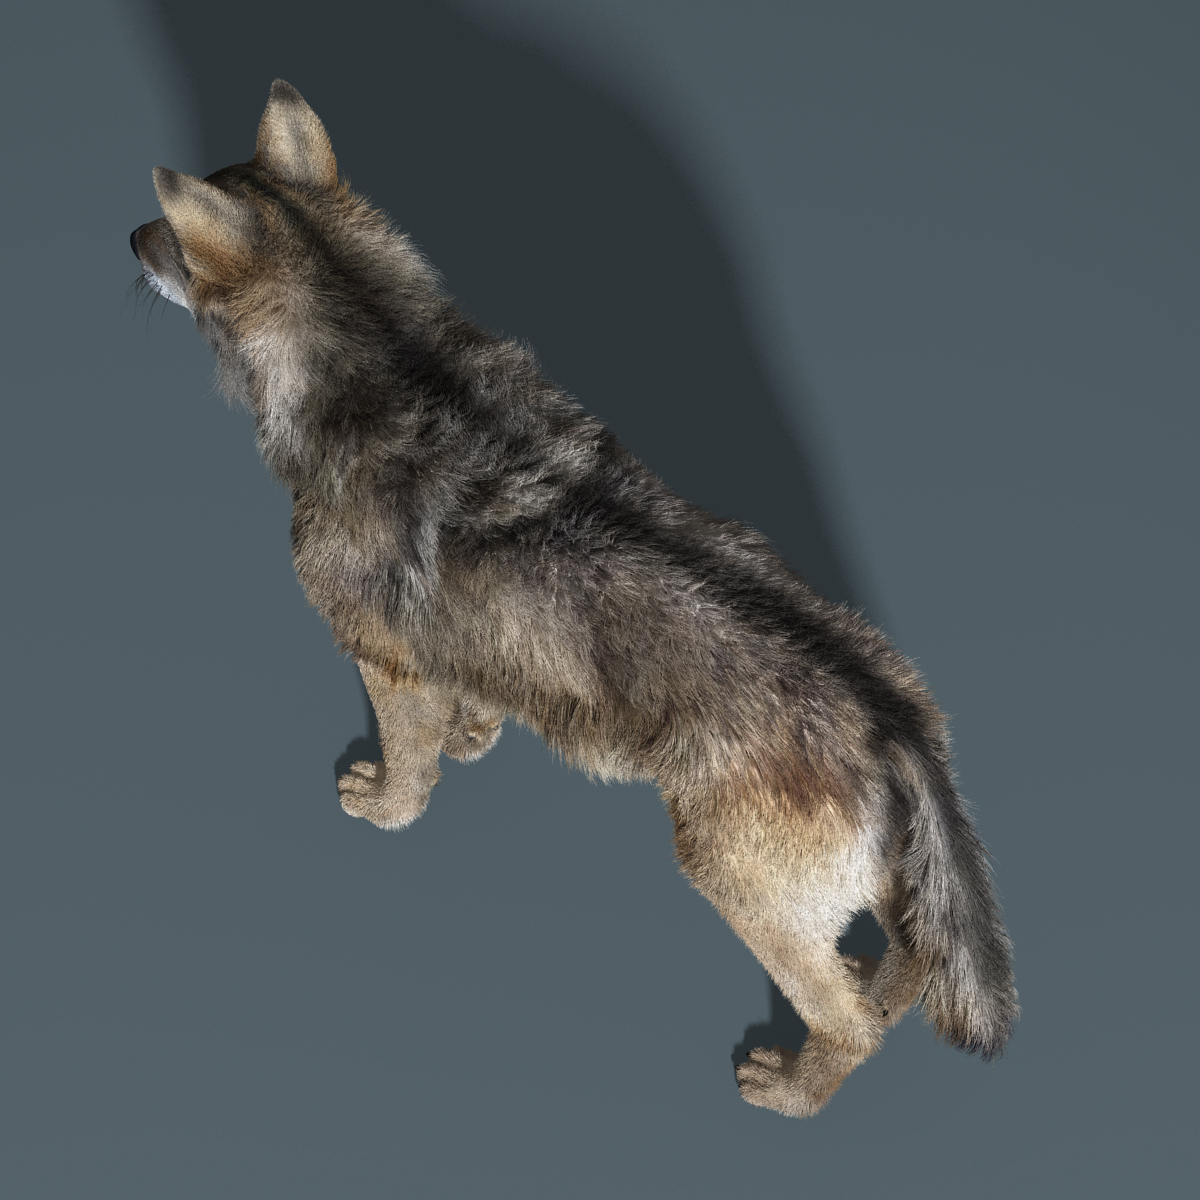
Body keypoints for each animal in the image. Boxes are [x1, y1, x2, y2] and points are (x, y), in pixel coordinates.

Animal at [130, 80, 1017, 1117]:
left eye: (171, 233)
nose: (128, 236)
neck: (380, 343)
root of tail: (892, 714)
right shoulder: (462, 652)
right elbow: (469, 710)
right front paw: (470, 740)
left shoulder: (385, 661)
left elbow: (407, 763)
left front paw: (390, 804)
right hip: (864, 887)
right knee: (906, 971)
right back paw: (875, 986)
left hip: (738, 887)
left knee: (853, 1026)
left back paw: (793, 1089)